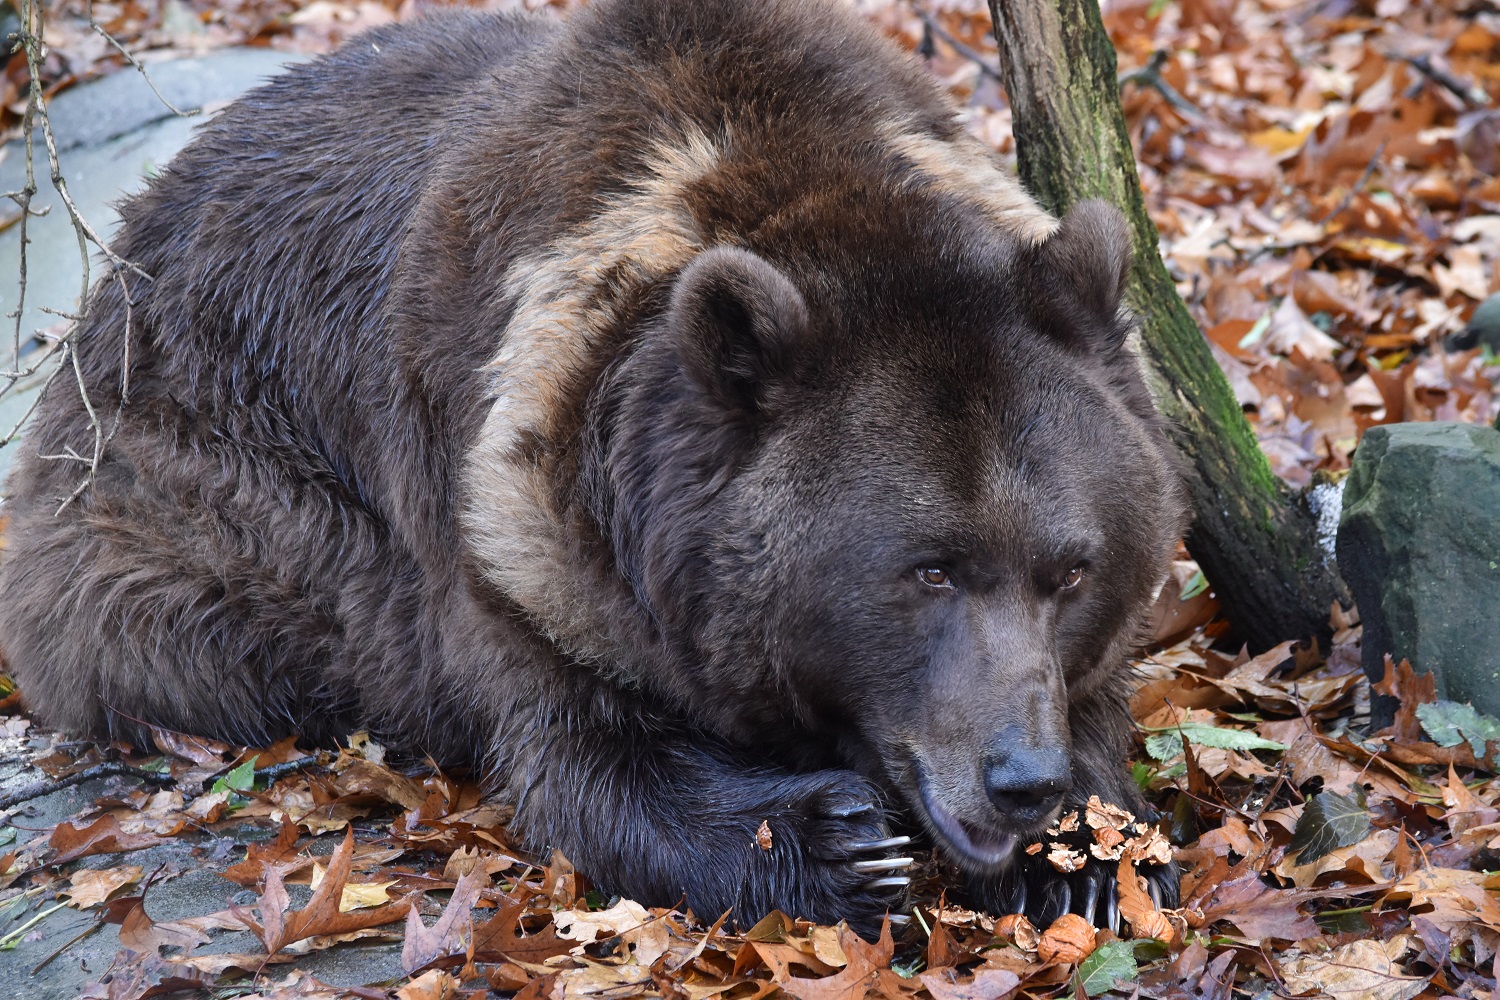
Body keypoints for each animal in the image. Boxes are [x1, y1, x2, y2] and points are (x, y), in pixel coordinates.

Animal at [0, 0, 1188, 933]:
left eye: (1069, 568)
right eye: (927, 568)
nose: (1017, 779)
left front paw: (1085, 860)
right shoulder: (510, 528)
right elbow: (581, 759)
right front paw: (842, 839)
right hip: (197, 490)